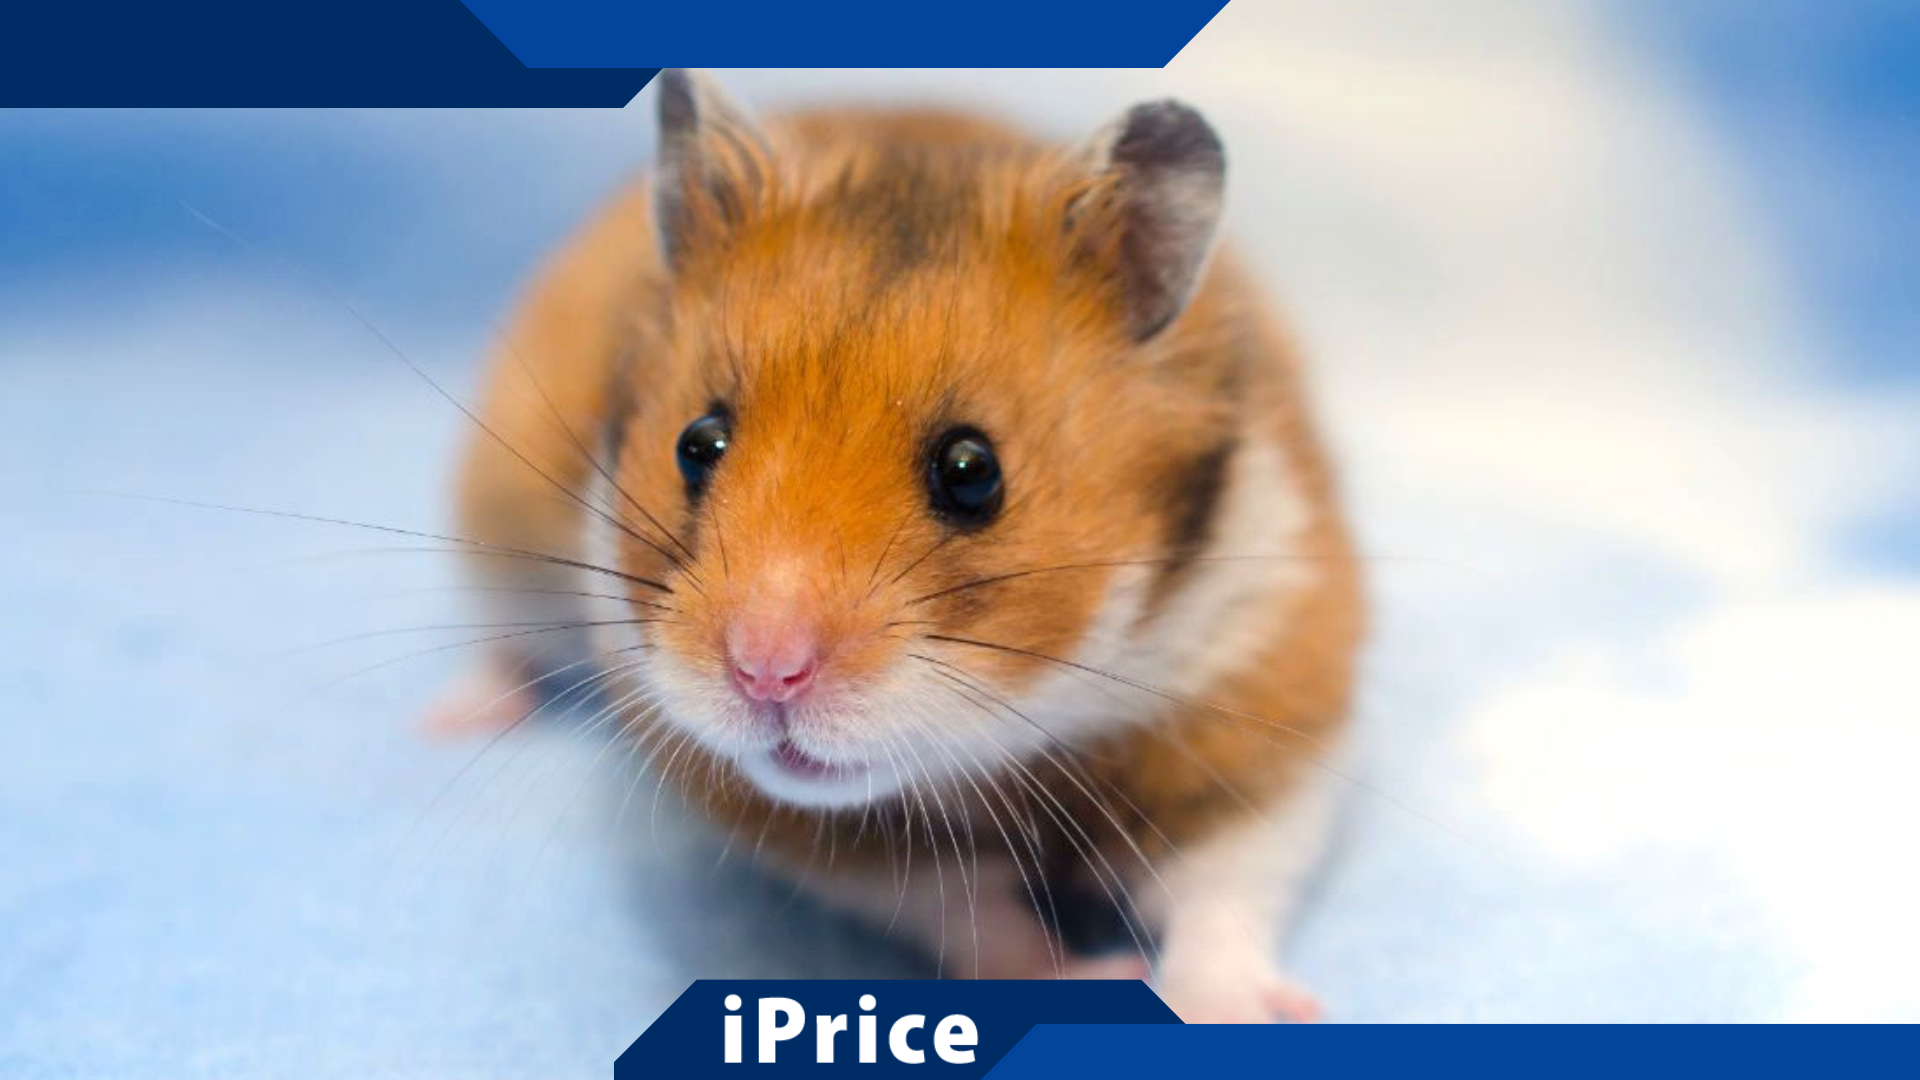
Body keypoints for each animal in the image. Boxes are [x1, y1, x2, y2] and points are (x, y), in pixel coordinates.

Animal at [442, 70, 1363, 1023]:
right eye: (696, 444)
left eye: (972, 470)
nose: (764, 672)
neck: (1035, 723)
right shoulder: (830, 835)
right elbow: (971, 915)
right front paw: (1098, 977)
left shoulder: (1264, 698)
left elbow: (1224, 889)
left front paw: (1229, 1008)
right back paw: (454, 719)